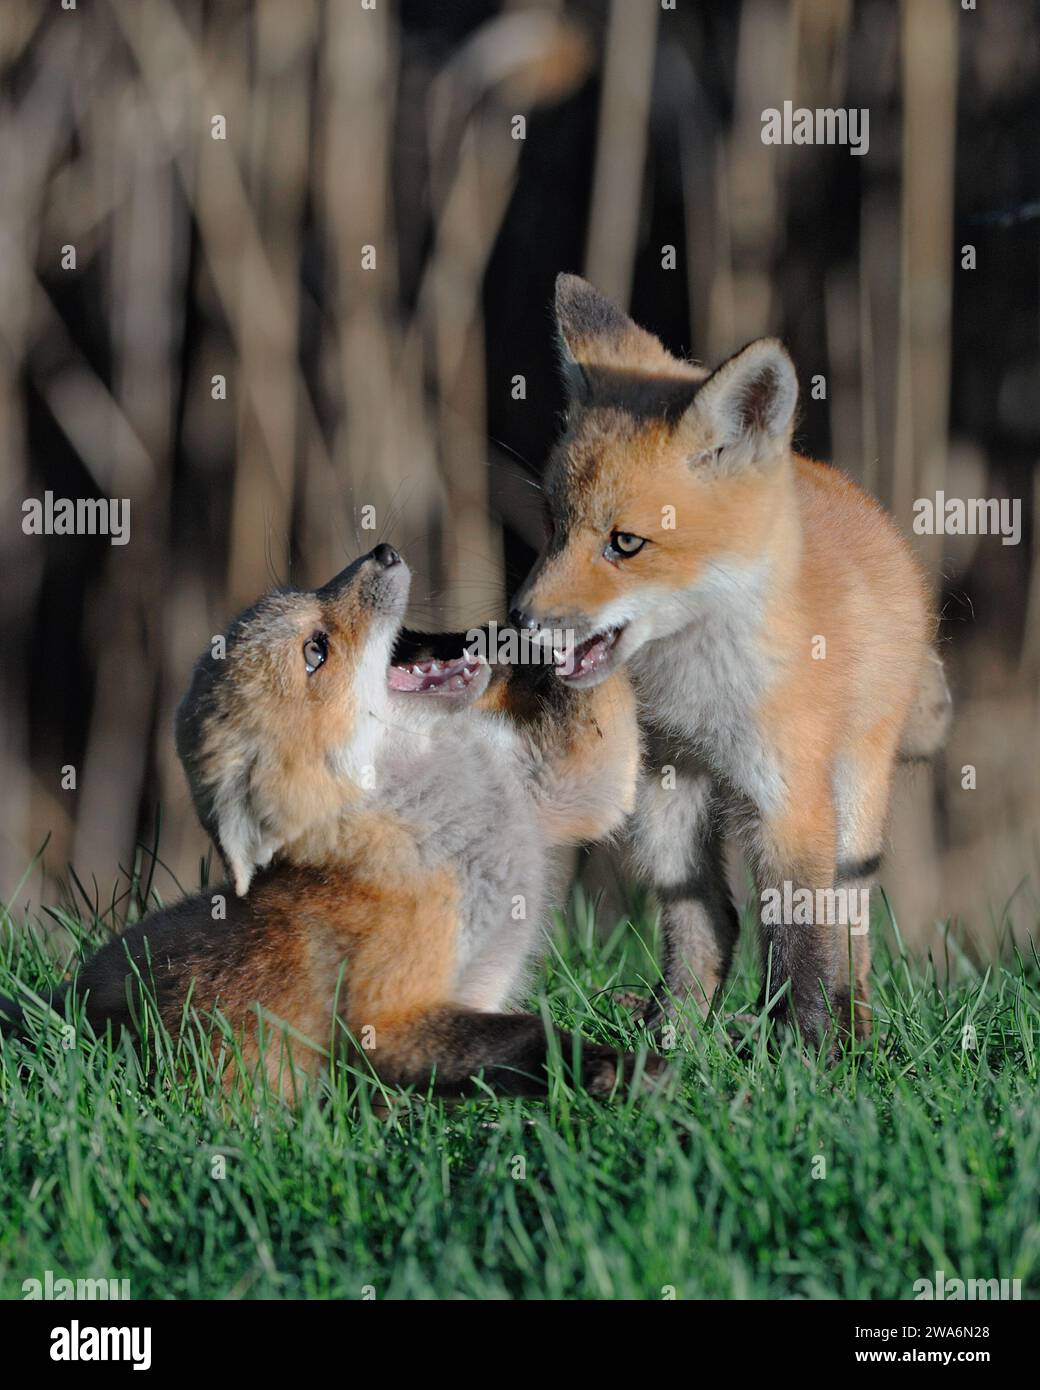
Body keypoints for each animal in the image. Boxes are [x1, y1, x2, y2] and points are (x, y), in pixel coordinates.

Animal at [1, 543, 665, 1098]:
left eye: (311, 590)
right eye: (315, 650)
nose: (383, 550)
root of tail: (58, 1000)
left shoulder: (561, 786)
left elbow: (599, 757)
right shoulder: (388, 1022)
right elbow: (528, 1033)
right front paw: (612, 1067)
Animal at [509, 274, 952, 1045]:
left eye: (625, 544)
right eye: (555, 529)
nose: (522, 623)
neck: (696, 693)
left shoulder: (790, 799)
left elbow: (804, 944)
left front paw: (808, 1056)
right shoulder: (666, 778)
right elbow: (702, 922)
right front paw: (677, 1039)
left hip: (855, 798)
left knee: (850, 926)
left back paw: (854, 1031)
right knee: (717, 916)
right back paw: (681, 1026)